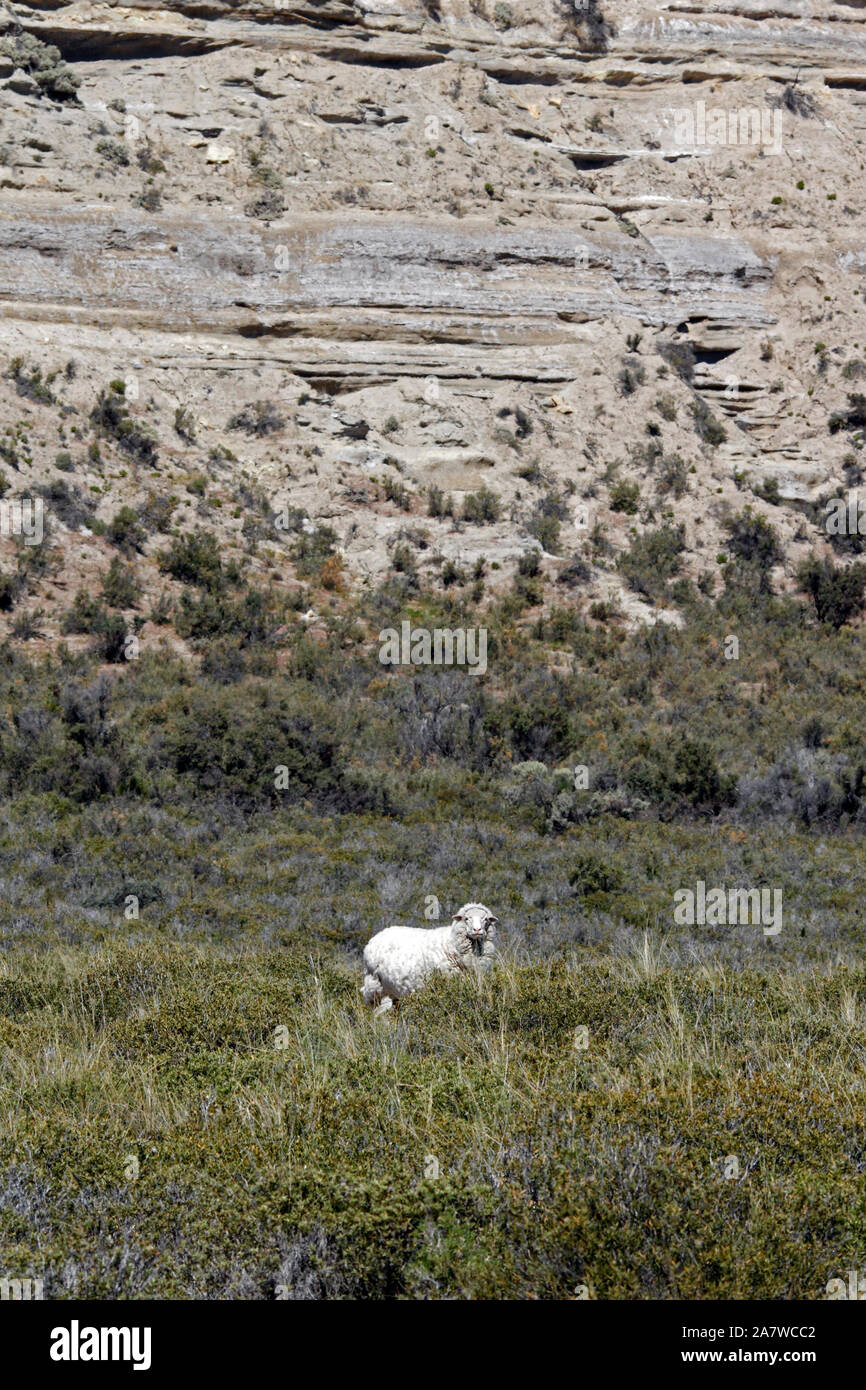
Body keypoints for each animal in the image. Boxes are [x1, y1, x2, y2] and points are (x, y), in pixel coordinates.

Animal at [362, 902, 498, 1015]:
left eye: (485, 919)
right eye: (467, 918)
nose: (477, 930)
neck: (451, 944)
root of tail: (375, 938)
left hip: (394, 993)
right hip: (376, 989)